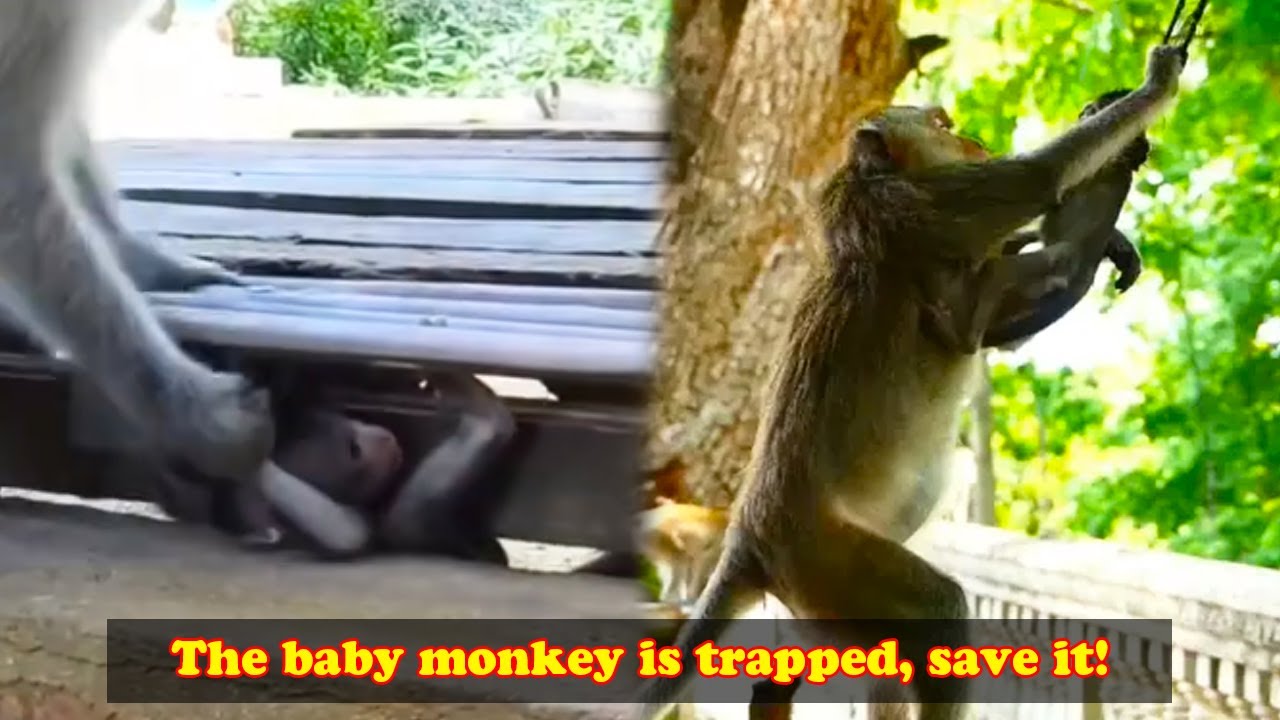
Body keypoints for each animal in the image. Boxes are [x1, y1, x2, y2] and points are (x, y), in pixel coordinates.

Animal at [634, 44, 1186, 720]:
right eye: (943, 126)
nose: (975, 140)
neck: (868, 183)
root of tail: (747, 537)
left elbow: (1009, 310)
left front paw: (1103, 228)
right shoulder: (924, 213)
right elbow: (1040, 179)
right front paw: (1153, 86)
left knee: (854, 665)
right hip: (828, 563)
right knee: (938, 612)